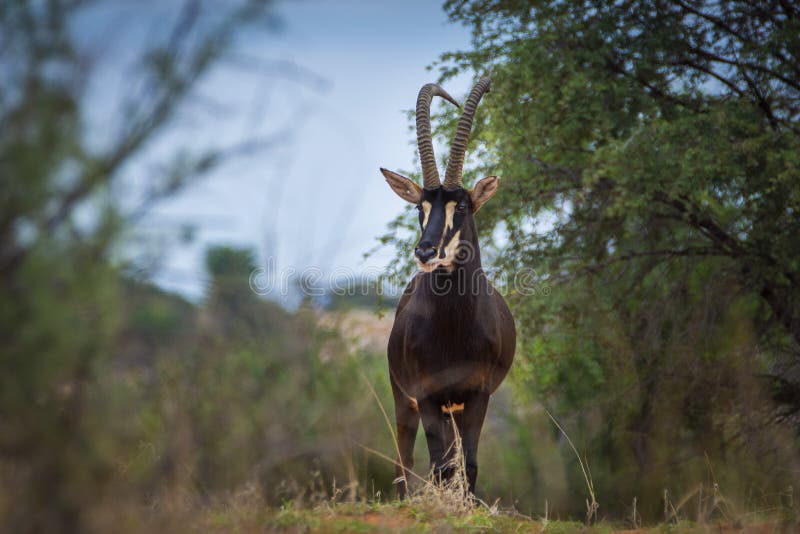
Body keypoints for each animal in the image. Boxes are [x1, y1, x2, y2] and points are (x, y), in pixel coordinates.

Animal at [380, 77, 515, 498]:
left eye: (464, 206)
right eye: (419, 207)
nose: (425, 251)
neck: (454, 325)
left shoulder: (477, 394)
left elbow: (467, 466)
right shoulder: (426, 395)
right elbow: (439, 466)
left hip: (453, 409)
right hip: (405, 399)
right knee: (405, 460)